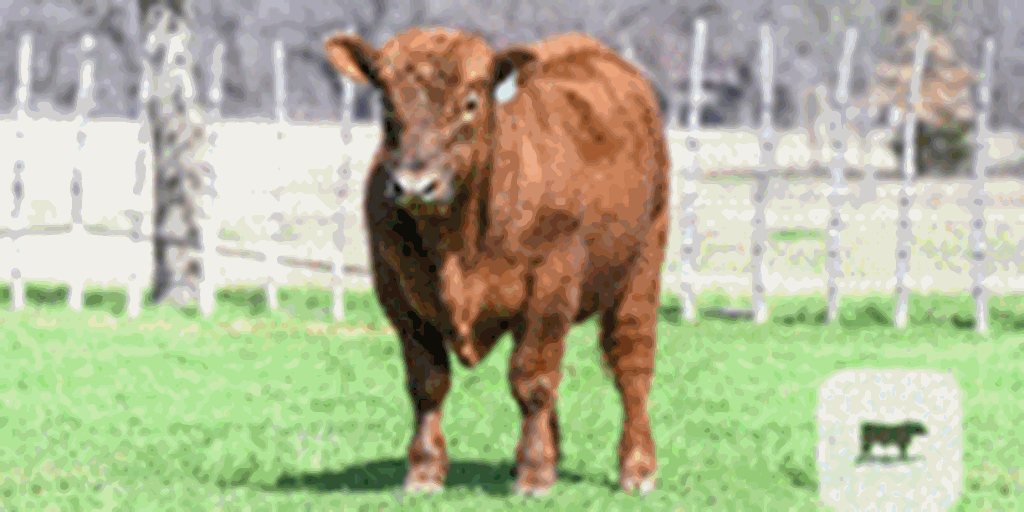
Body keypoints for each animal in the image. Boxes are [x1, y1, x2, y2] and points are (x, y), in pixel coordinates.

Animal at [324, 26, 669, 497]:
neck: (456, 241)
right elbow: (427, 383)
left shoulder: (551, 281)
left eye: (471, 101)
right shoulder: (397, 293)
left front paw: (535, 474)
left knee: (631, 365)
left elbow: (532, 380)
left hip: (643, 266)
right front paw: (425, 471)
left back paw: (637, 467)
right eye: (386, 100)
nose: (414, 184)